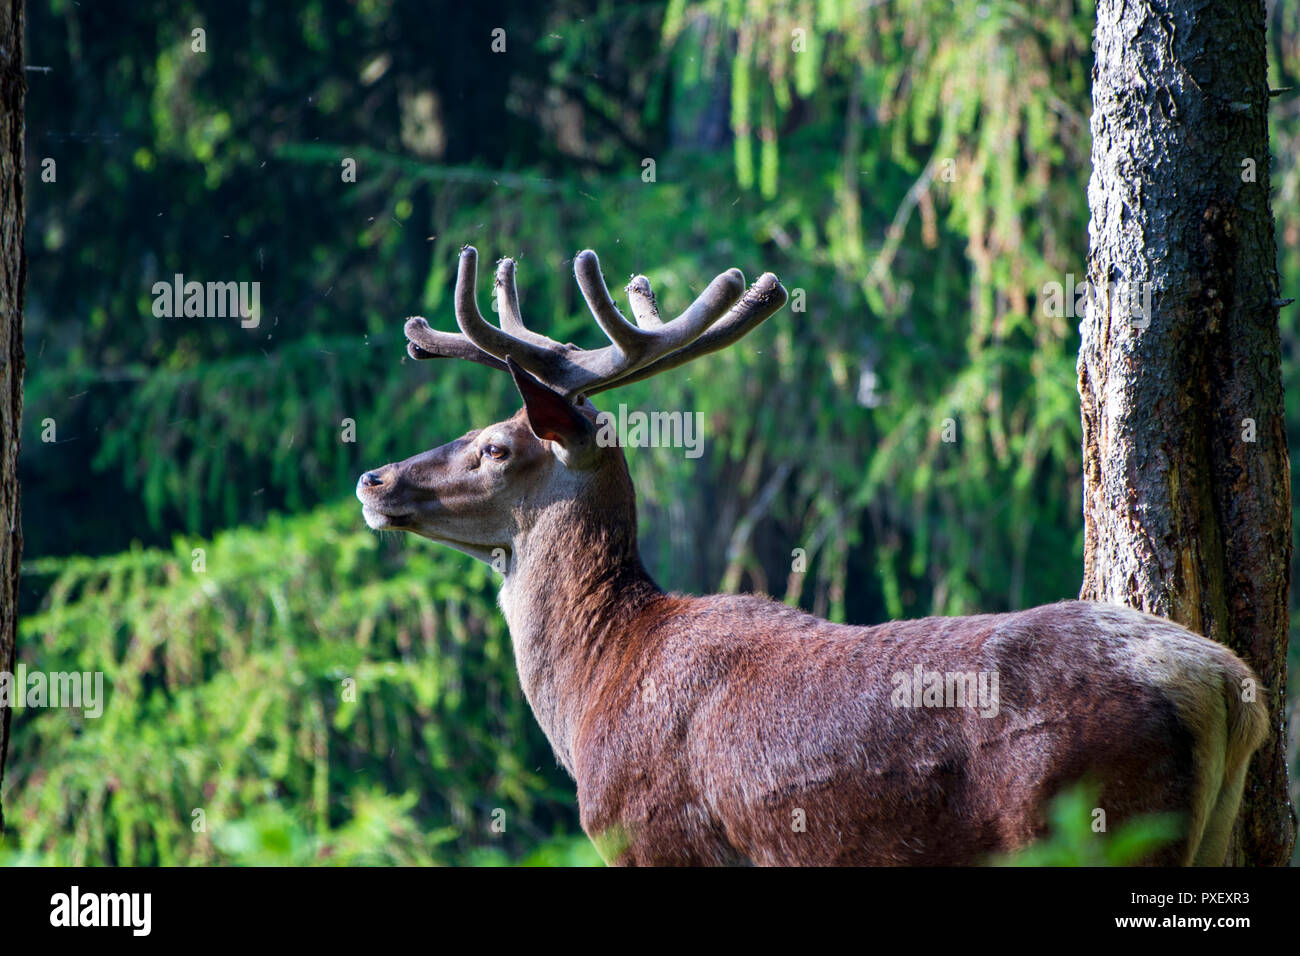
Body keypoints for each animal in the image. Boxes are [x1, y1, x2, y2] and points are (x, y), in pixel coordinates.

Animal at [357, 245, 1269, 866]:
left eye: (497, 447)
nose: (374, 478)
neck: (595, 684)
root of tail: (1229, 687)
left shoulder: (658, 839)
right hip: (1211, 833)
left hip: (1091, 825)